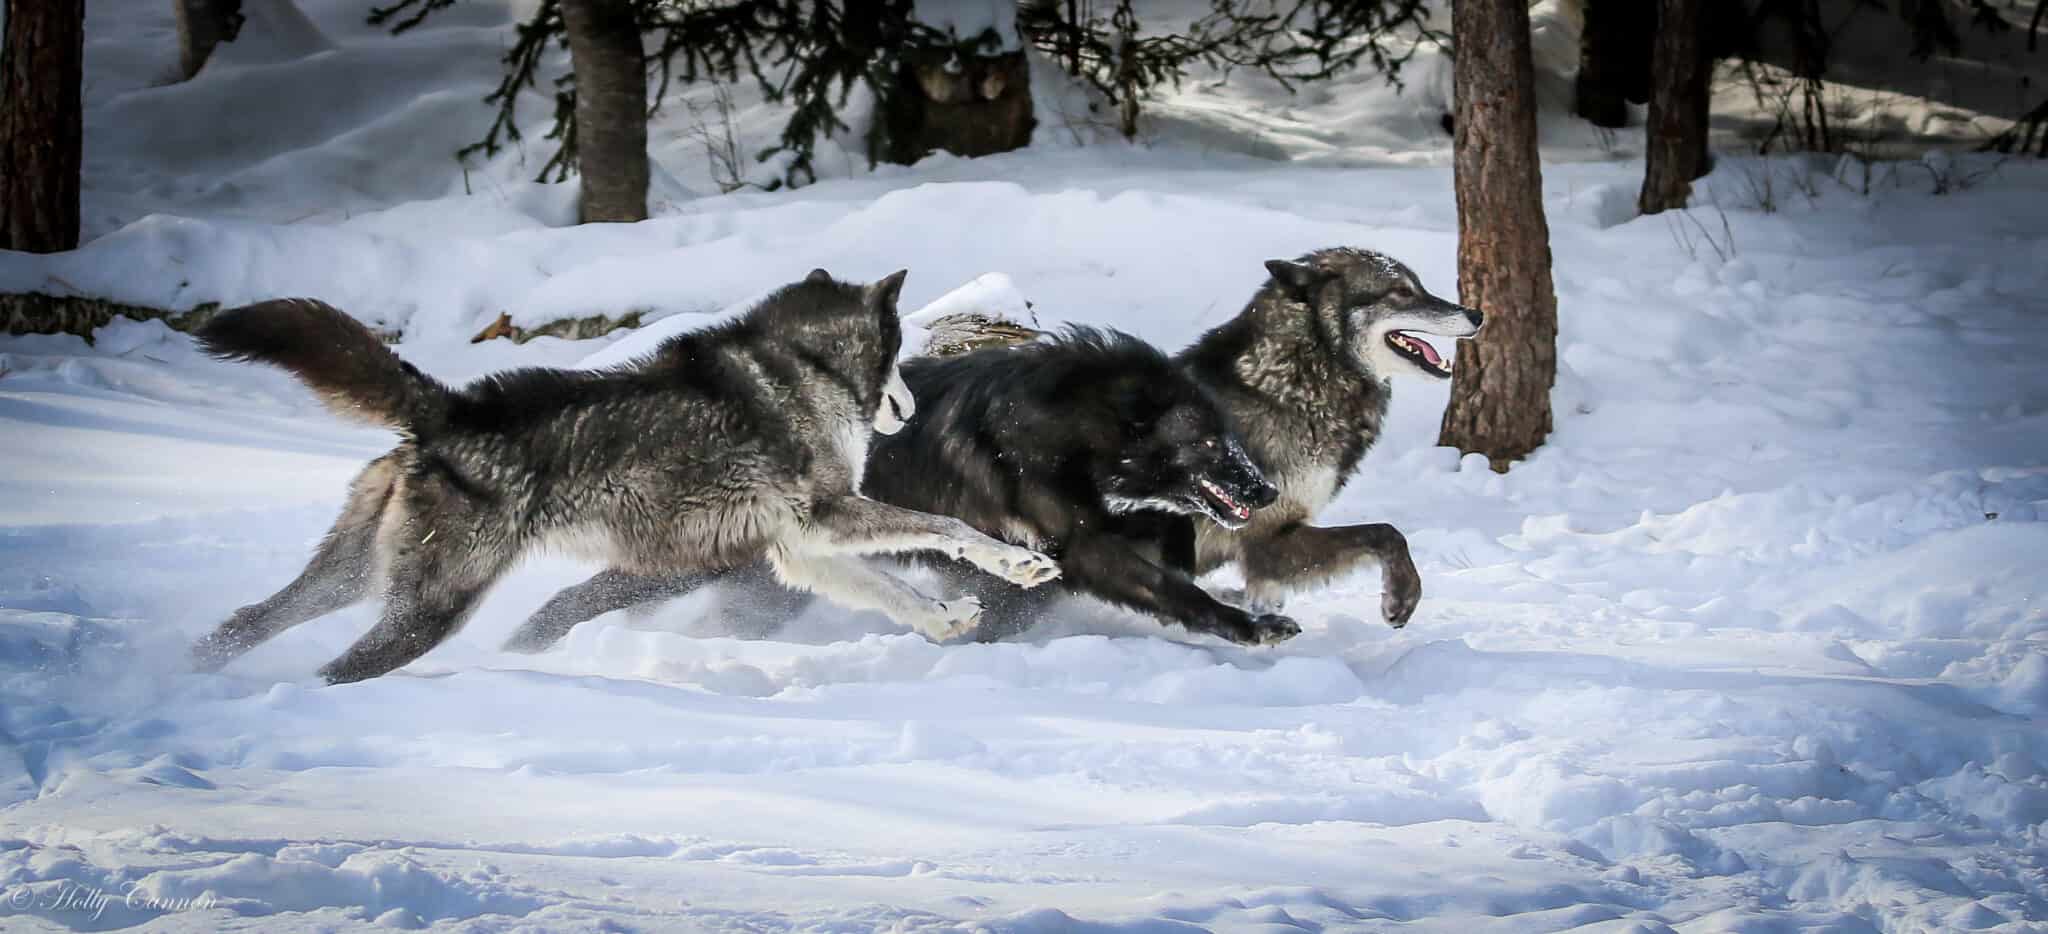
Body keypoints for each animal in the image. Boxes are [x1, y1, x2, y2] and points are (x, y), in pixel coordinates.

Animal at [189, 269, 1060, 684]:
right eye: (900, 352)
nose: (908, 411)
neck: (803, 364)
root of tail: (448, 408)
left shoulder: (799, 547)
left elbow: (894, 591)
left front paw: (943, 620)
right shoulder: (827, 516)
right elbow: (949, 529)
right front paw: (1016, 563)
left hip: (351, 582)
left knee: (240, 624)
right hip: (426, 611)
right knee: (332, 669)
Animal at [502, 328, 1299, 650]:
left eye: (1231, 434)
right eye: (1207, 443)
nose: (1264, 491)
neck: (1068, 425)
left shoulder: (1089, 533)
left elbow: (1172, 535)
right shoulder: (1080, 548)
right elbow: (1173, 588)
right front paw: (1250, 628)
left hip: (766, 588)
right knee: (580, 598)